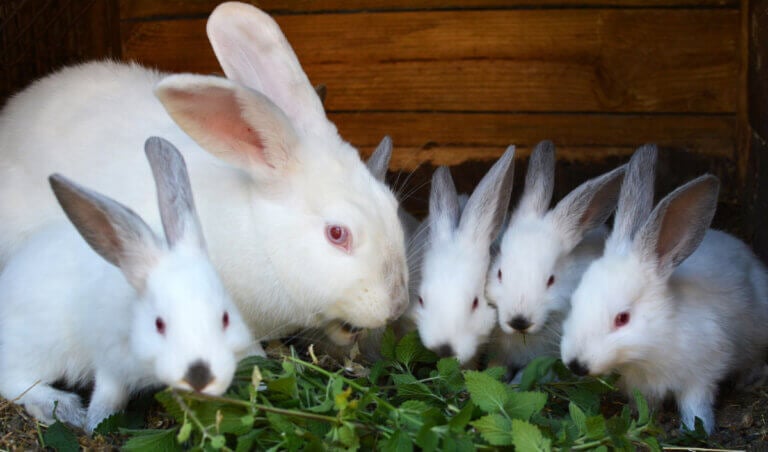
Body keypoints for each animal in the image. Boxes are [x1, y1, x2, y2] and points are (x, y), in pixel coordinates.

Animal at [0, 137, 253, 433]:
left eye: (225, 318)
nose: (199, 375)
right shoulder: (110, 363)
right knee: (15, 379)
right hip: (37, 348)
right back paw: (62, 407)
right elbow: (109, 397)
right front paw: (93, 425)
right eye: (159, 324)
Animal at [560, 144, 768, 434]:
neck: (652, 345)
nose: (576, 364)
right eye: (574, 303)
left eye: (622, 318)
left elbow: (695, 405)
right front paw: (638, 419)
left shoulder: (702, 375)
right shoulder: (642, 386)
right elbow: (645, 405)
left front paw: (696, 429)